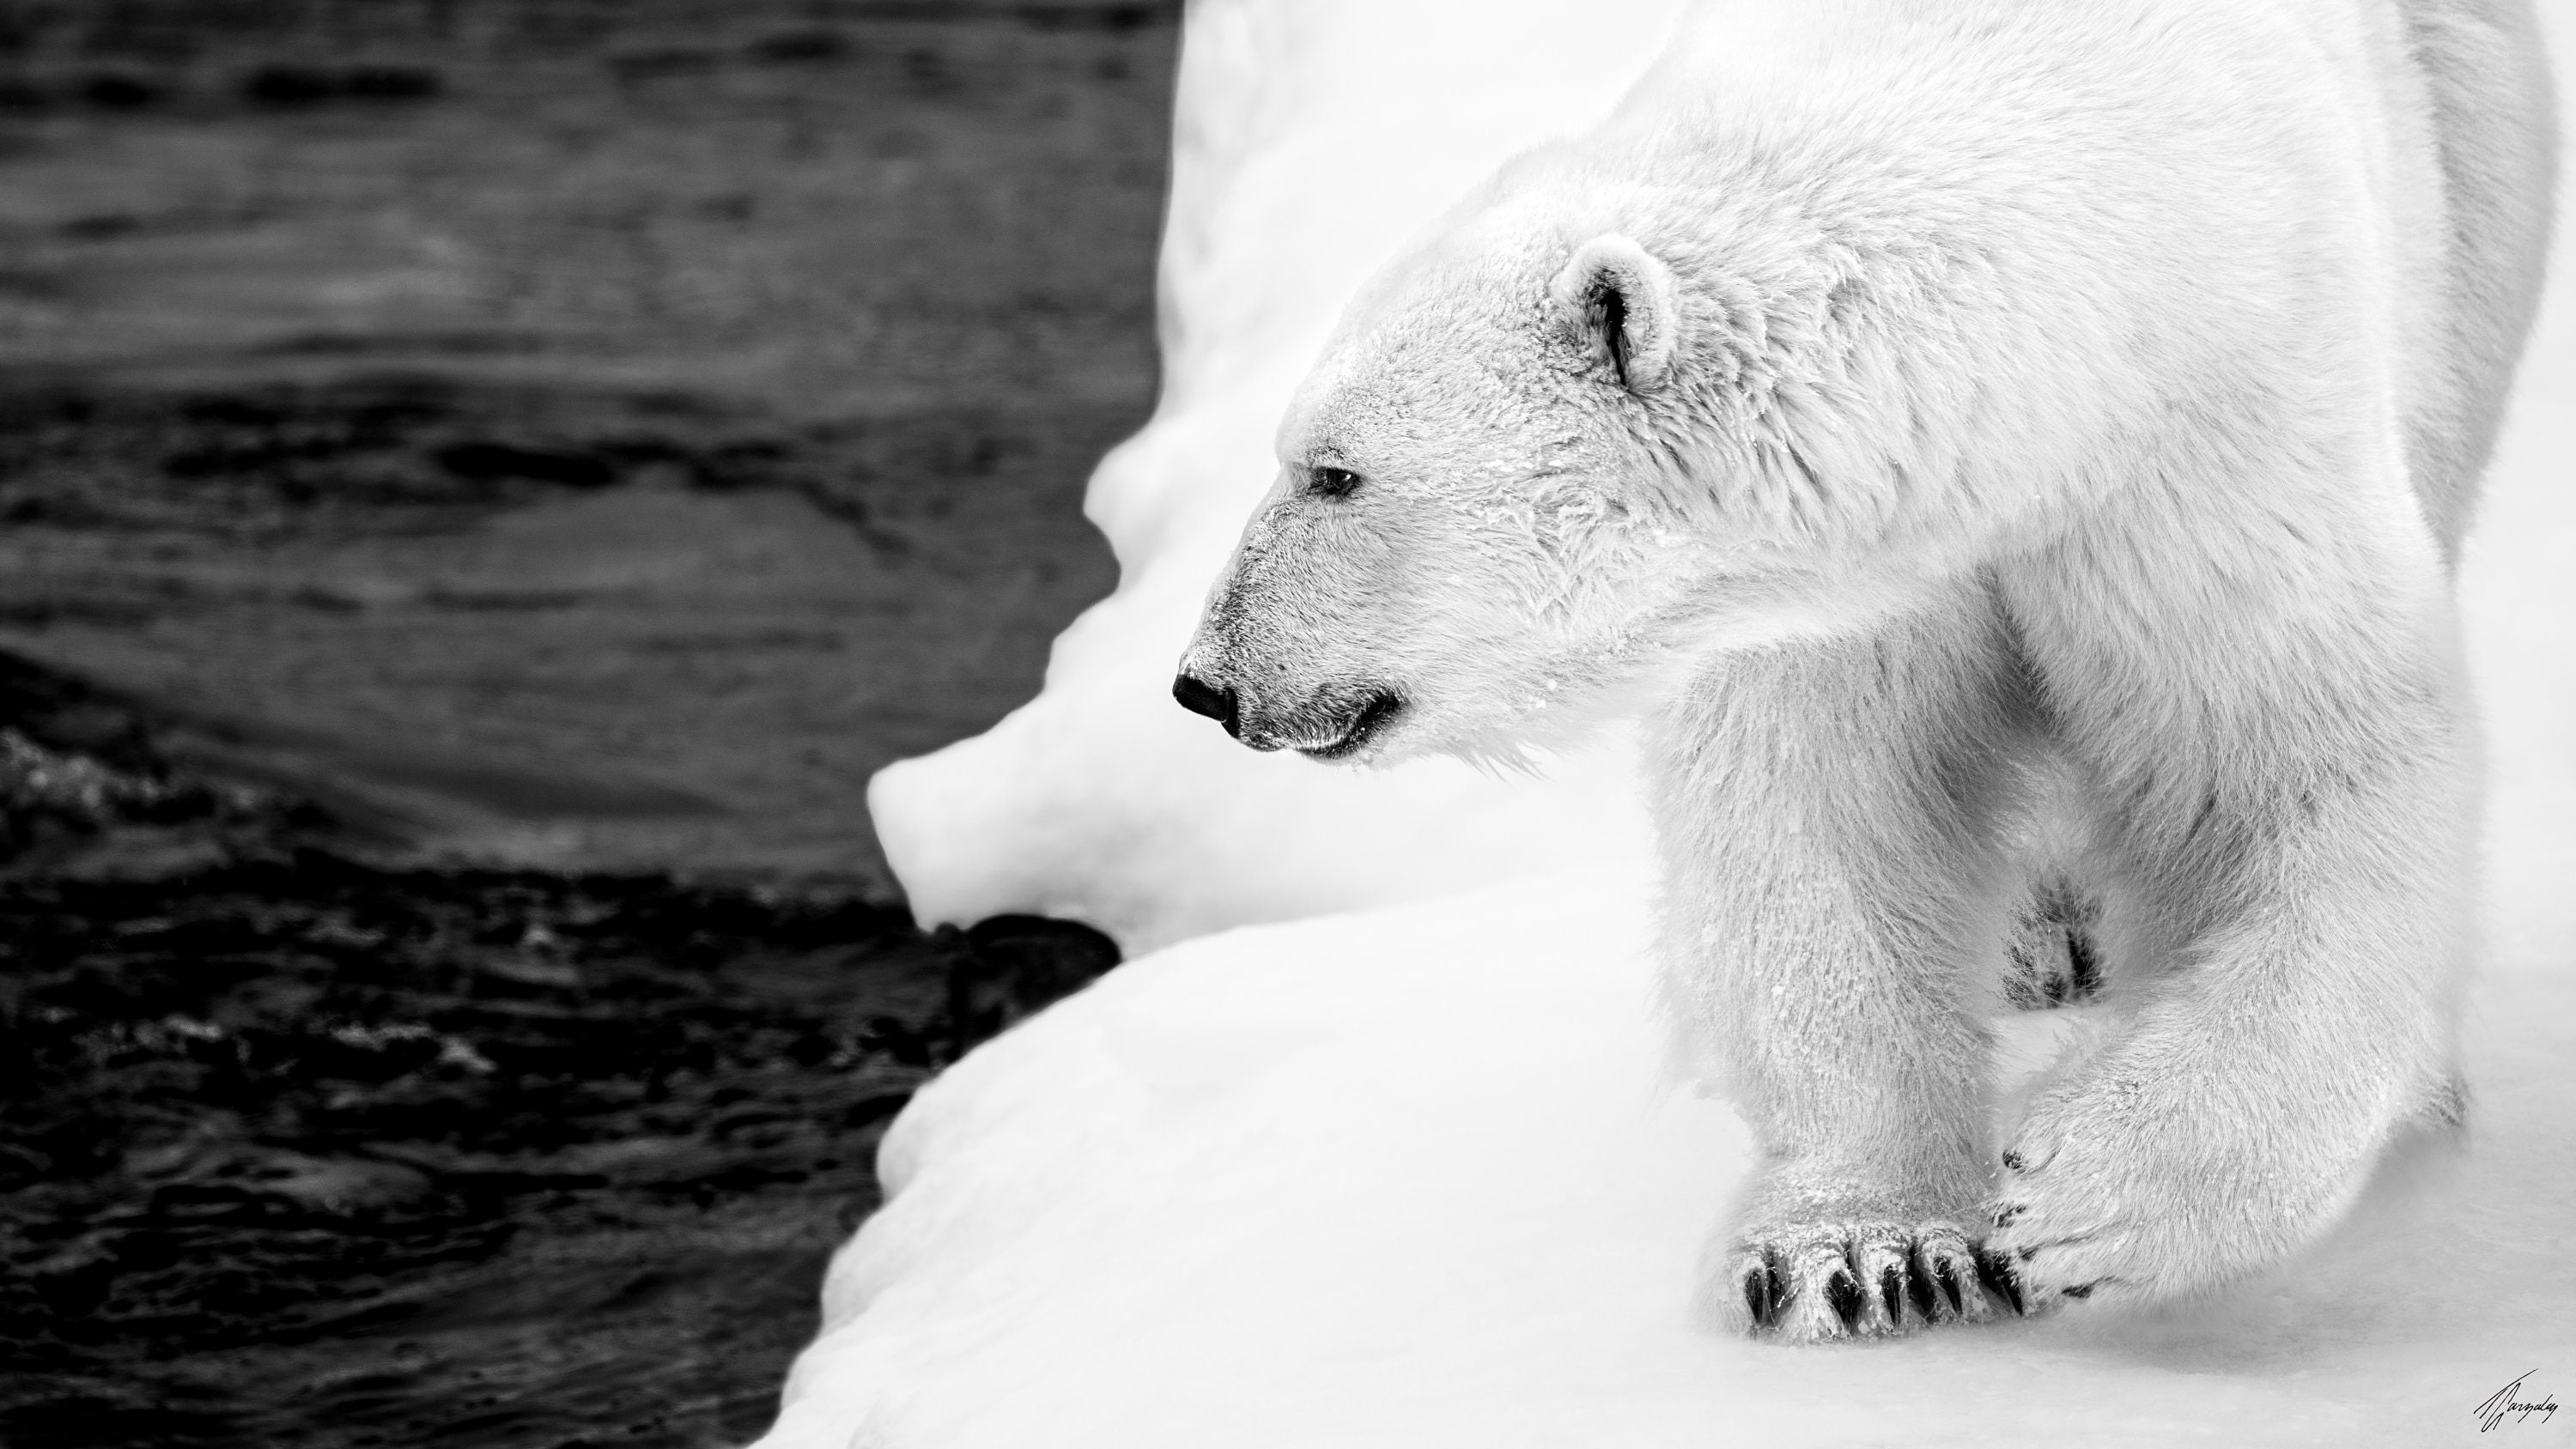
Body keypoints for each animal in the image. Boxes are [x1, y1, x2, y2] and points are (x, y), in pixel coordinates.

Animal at [1170, 0, 2558, 1342]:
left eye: (1335, 471)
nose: (1205, 681)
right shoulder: (1839, 575)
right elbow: (1821, 818)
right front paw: (1861, 1251)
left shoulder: (2206, 433)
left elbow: (2308, 764)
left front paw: (2082, 1206)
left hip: (2473, 174)